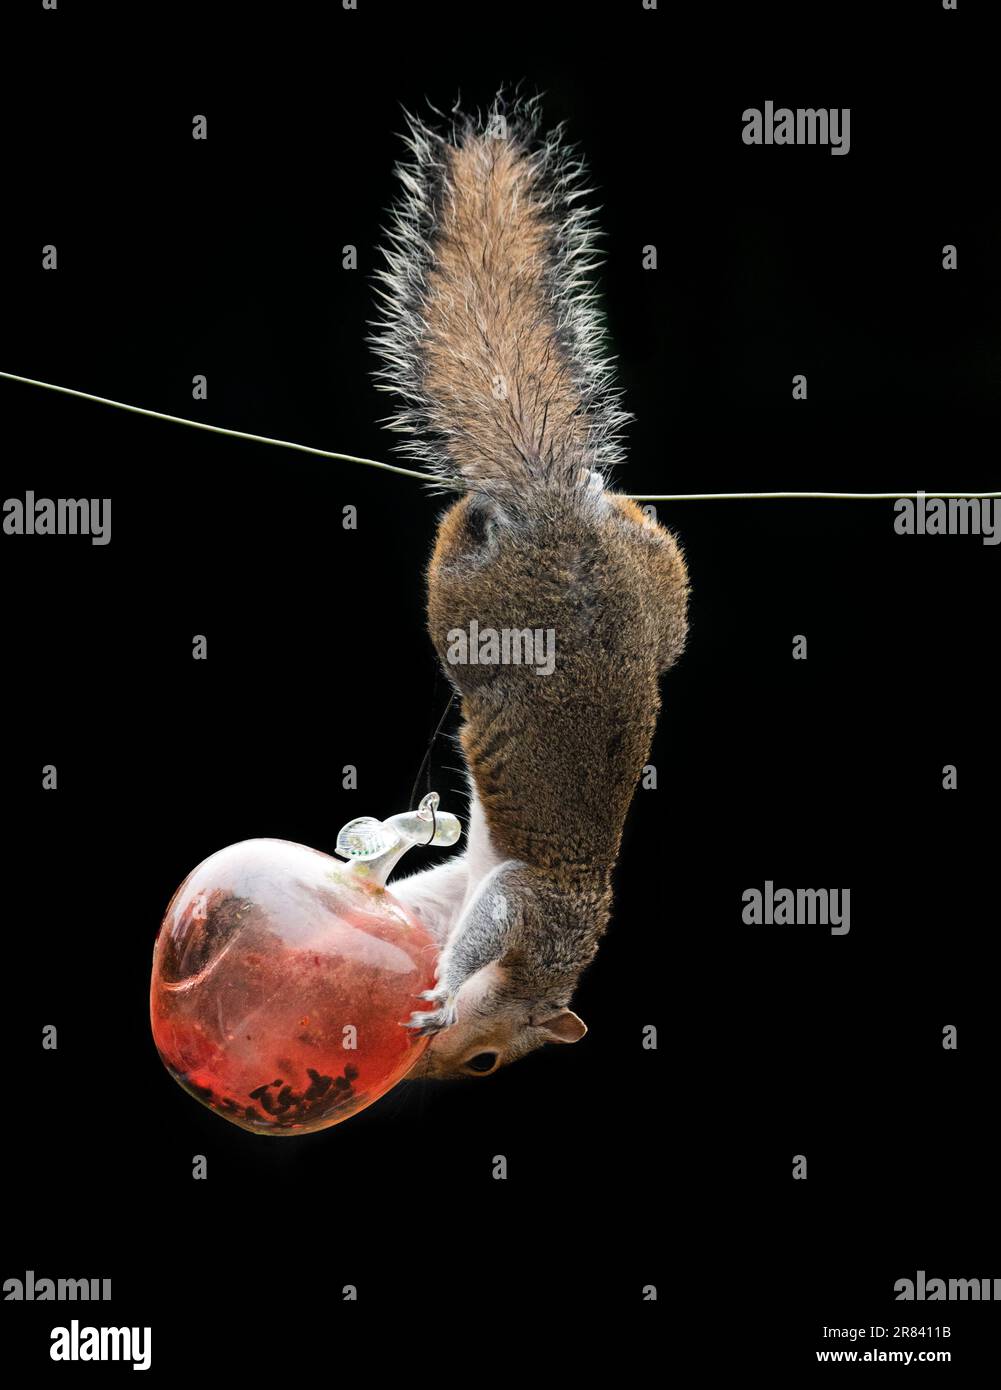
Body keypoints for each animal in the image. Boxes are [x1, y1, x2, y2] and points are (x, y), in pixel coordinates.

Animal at [369, 93, 688, 1080]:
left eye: (482, 1068)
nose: (425, 1069)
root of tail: (551, 509)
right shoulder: (533, 906)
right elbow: (483, 923)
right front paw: (440, 990)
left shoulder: (485, 891)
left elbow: (449, 912)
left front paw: (428, 982)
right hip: (479, 613)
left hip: (640, 585)